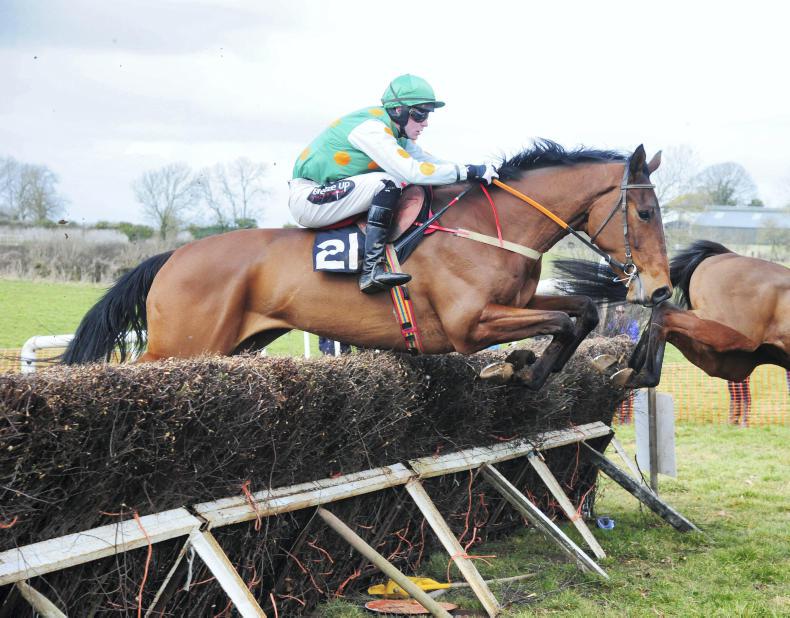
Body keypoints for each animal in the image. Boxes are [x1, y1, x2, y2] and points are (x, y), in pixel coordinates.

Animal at [63, 140, 672, 390]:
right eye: (645, 212)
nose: (662, 290)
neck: (491, 228)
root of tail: (175, 254)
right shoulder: (468, 325)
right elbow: (567, 320)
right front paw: (522, 370)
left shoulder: (516, 302)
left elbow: (581, 312)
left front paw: (531, 367)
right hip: (180, 345)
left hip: (234, 346)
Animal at [554, 240, 790, 386]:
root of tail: (725, 255)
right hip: (732, 336)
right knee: (665, 312)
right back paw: (642, 376)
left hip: (728, 360)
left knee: (661, 316)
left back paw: (621, 369)